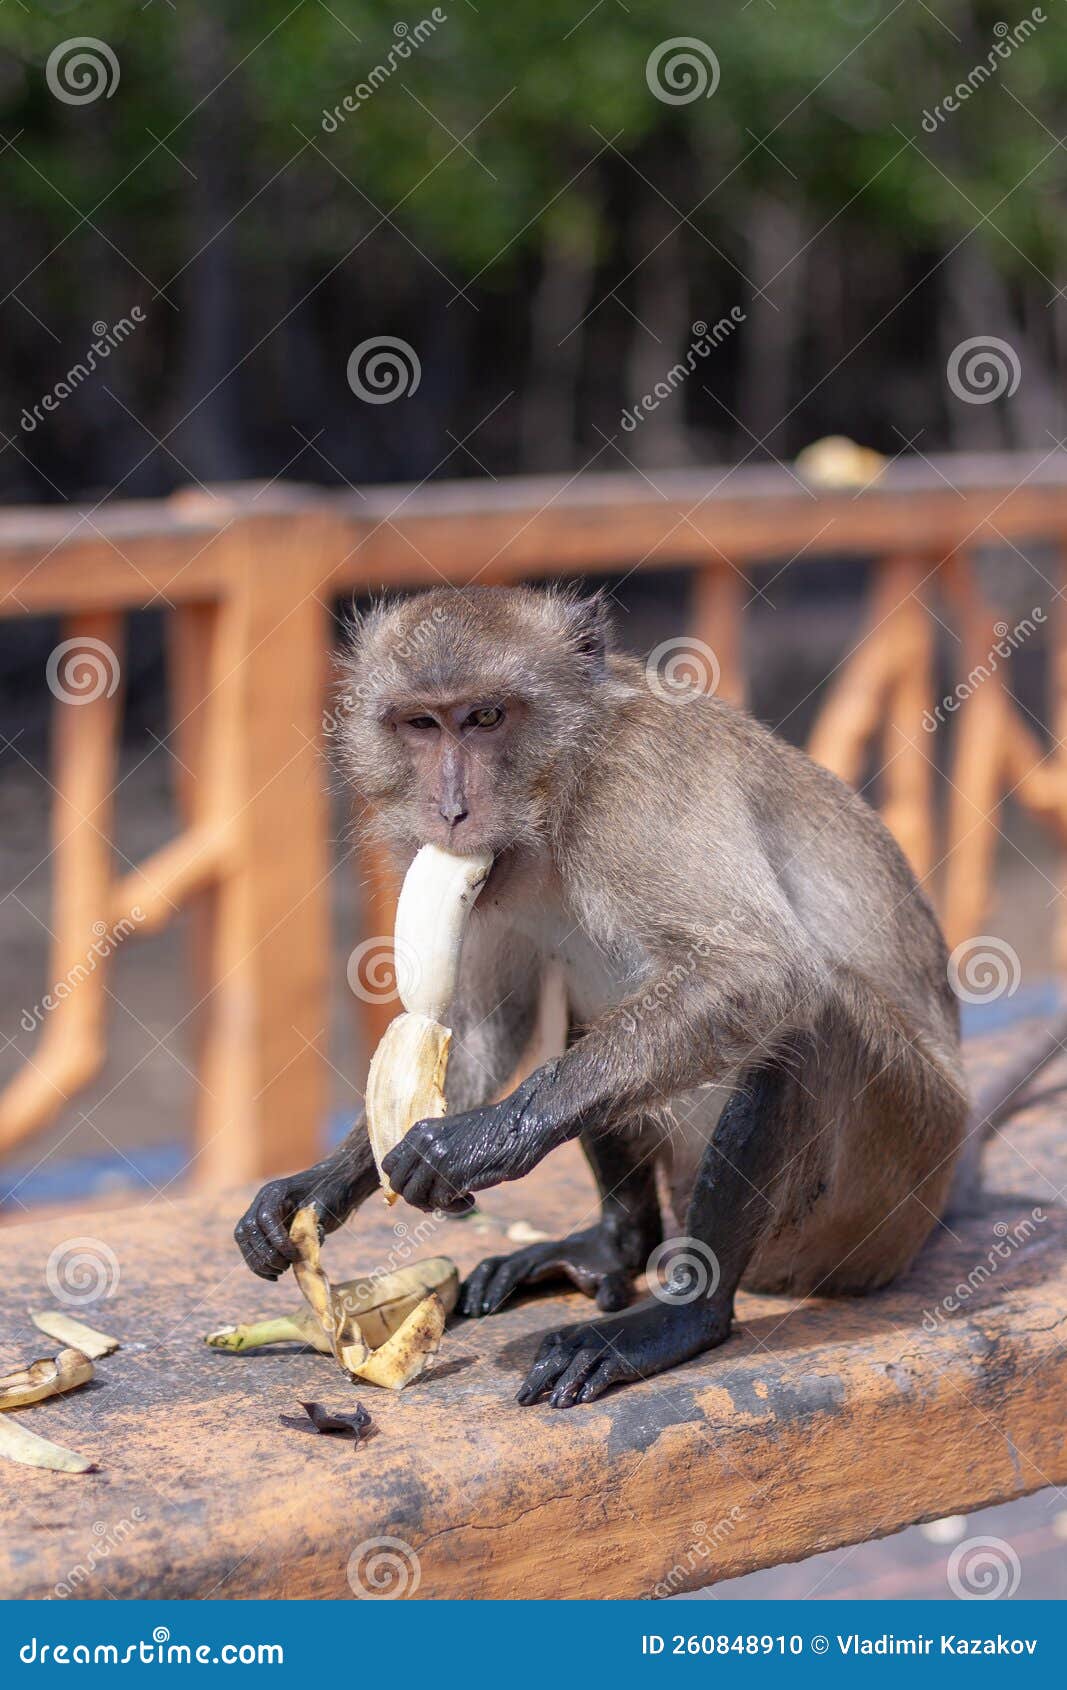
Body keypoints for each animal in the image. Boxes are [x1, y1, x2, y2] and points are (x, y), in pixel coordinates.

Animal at [234, 585, 1044, 1409]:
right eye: (421, 725)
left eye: (485, 718)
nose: (451, 810)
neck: (560, 792)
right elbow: (478, 1028)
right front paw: (321, 1186)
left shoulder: (640, 786)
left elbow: (761, 974)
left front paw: (478, 1141)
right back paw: (613, 1246)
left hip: (877, 1205)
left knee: (806, 1025)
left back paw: (688, 1316)